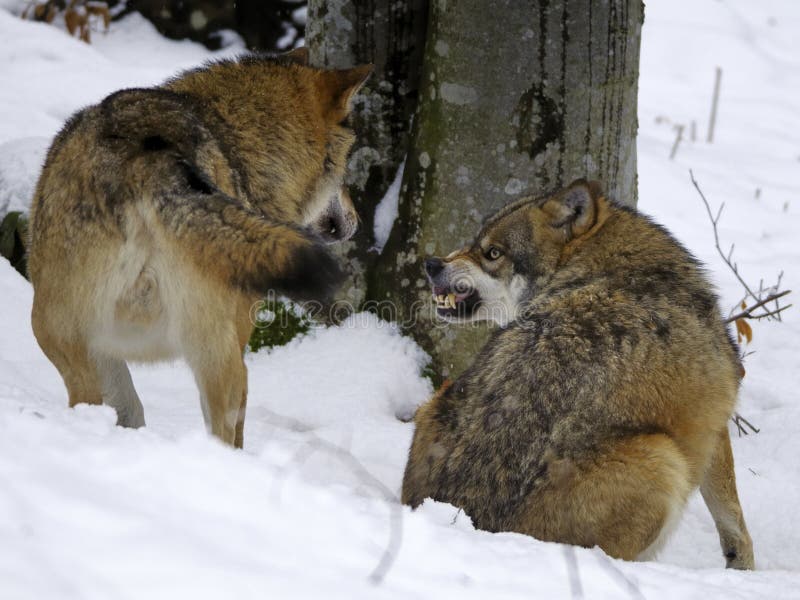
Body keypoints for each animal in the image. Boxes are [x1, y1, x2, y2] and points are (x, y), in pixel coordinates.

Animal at [27, 48, 370, 448]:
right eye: (345, 173)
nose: (358, 221)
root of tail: (147, 158)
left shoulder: (104, 351)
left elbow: (129, 408)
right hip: (223, 358)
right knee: (223, 434)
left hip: (63, 338)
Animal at [402, 179, 754, 568]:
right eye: (479, 244)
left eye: (492, 252)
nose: (432, 264)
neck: (597, 268)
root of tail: (470, 523)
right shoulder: (717, 417)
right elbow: (733, 516)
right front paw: (743, 570)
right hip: (663, 457)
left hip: (436, 400)